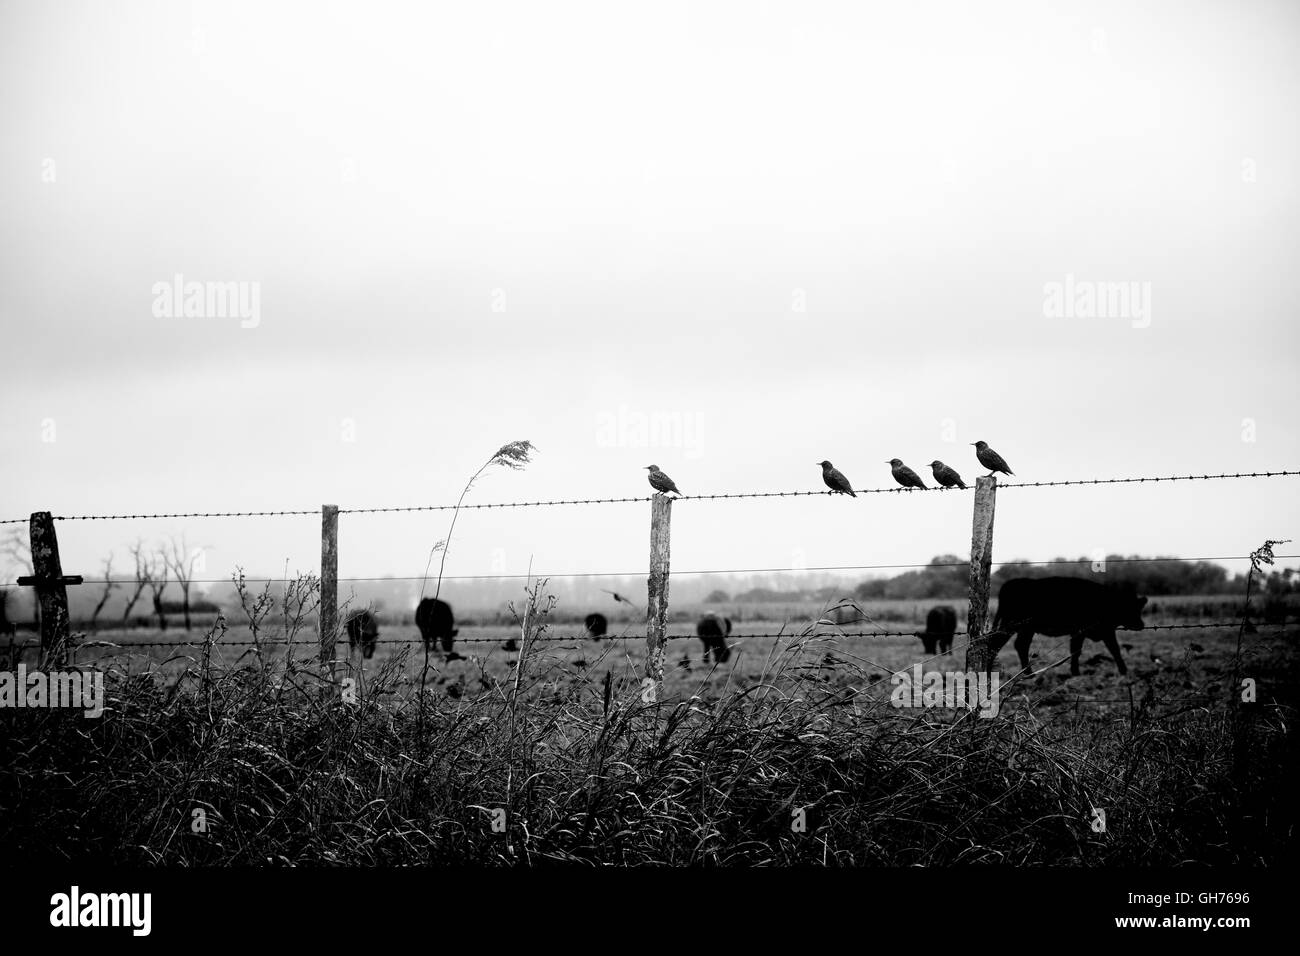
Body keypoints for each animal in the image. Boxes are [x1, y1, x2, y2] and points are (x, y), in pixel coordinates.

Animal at [989, 577, 1147, 676]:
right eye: (1127, 608)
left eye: (1138, 608)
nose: (1141, 624)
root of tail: (1011, 583)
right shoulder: (1080, 632)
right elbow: (1076, 651)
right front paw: (1076, 673)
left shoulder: (1107, 631)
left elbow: (1115, 649)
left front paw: (1124, 671)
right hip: (1012, 625)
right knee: (998, 643)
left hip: (1026, 629)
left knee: (1020, 645)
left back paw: (1029, 673)